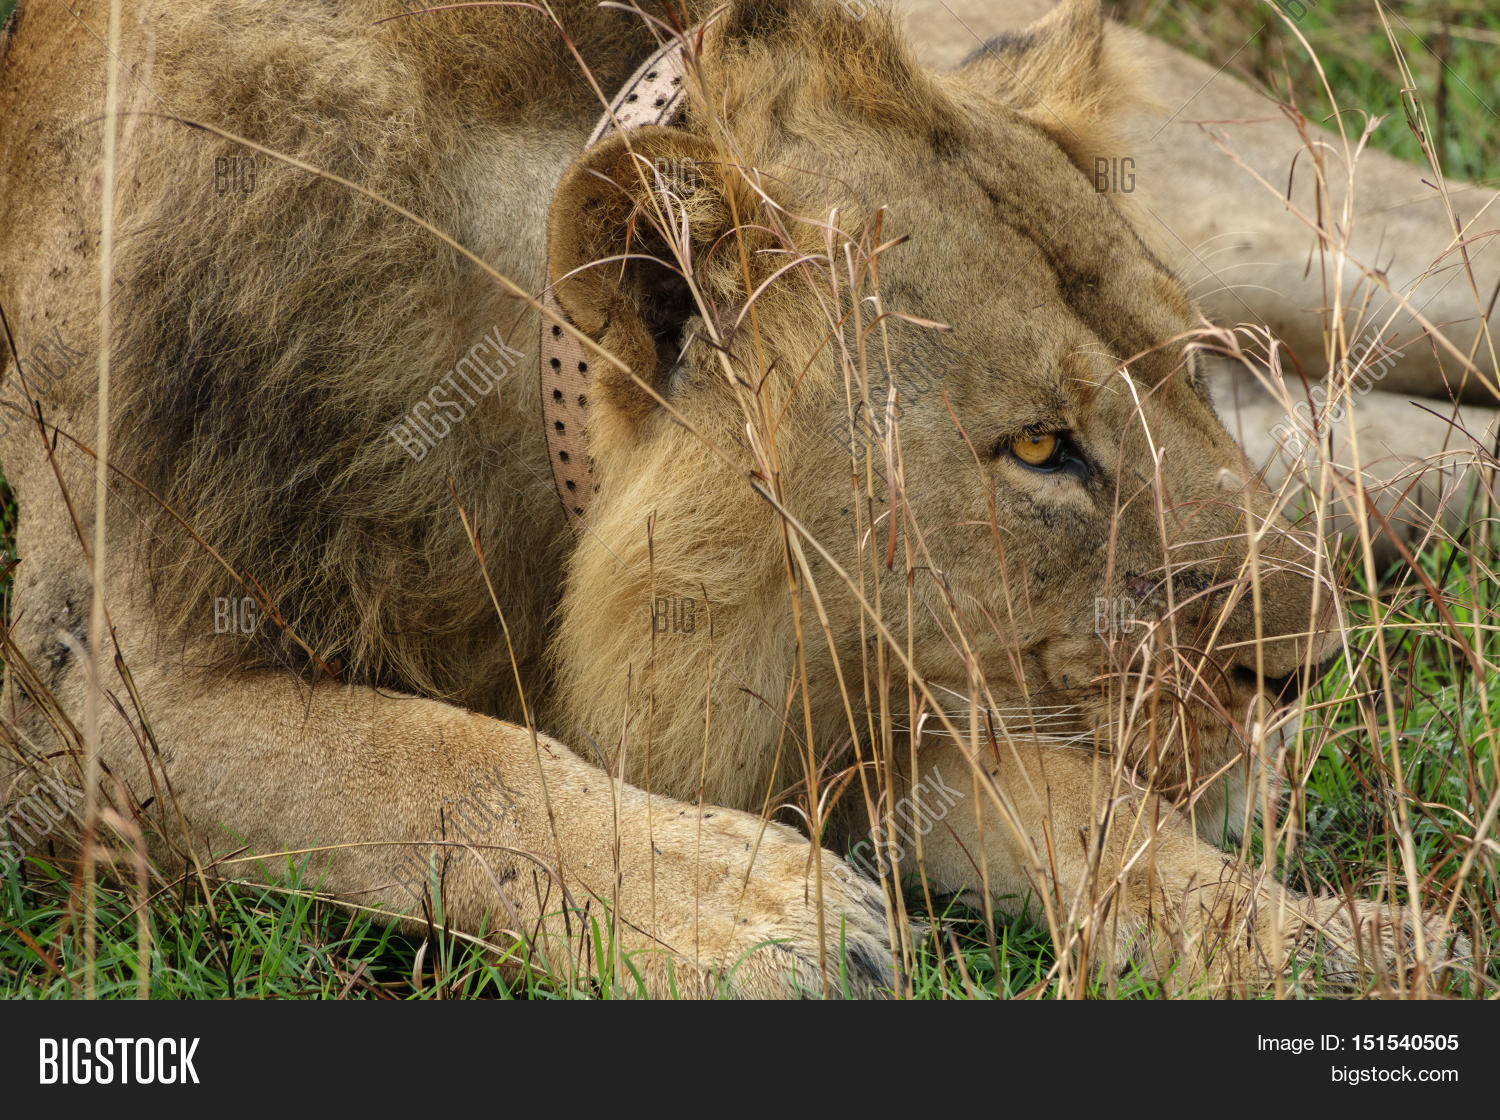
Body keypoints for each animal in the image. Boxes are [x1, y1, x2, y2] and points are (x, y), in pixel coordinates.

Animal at [0, 0, 1469, 997]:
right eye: (1043, 449)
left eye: (1185, 368)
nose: (1309, 671)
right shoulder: (85, 696)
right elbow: (423, 762)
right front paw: (754, 912)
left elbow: (1068, 797)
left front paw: (1312, 936)